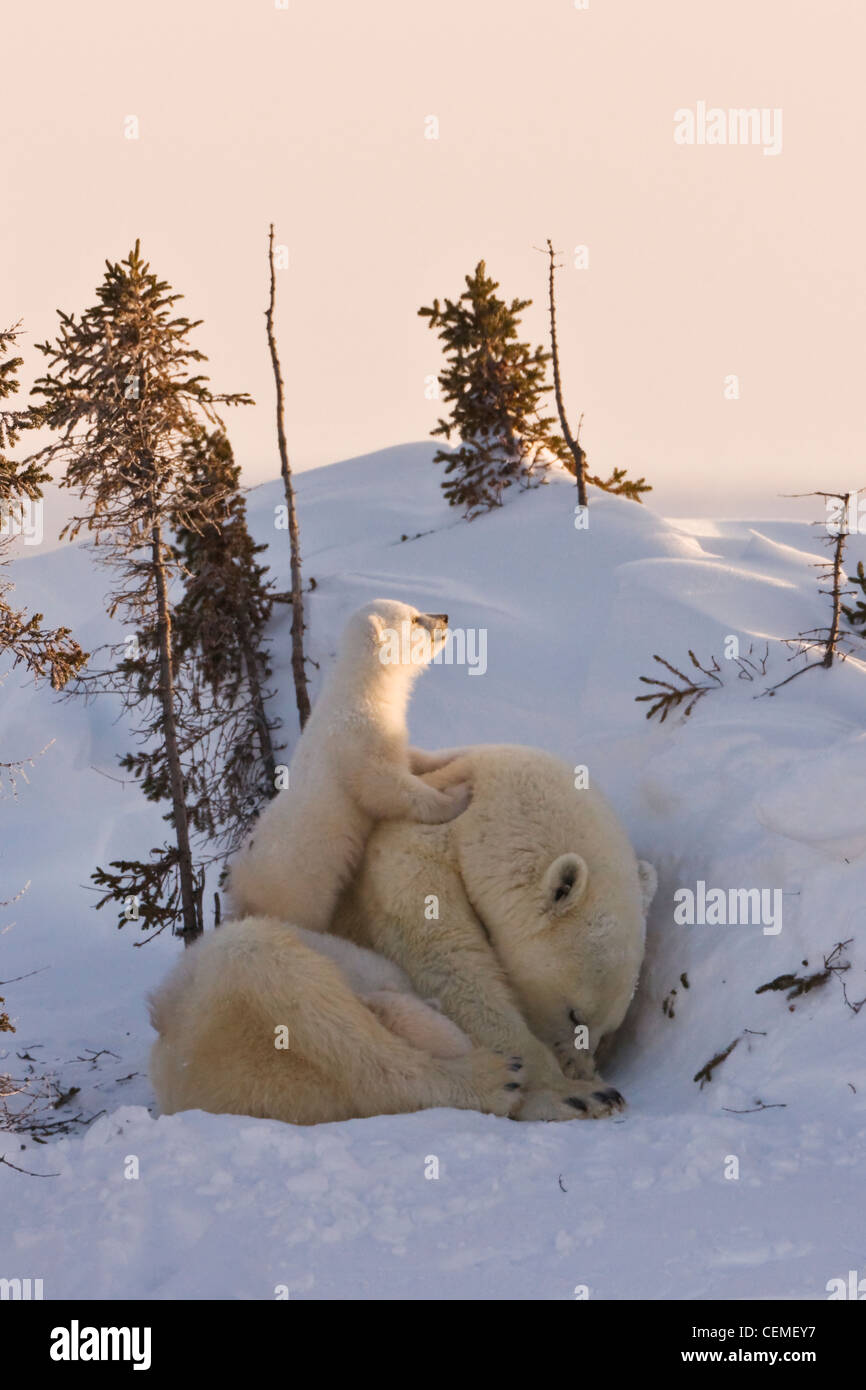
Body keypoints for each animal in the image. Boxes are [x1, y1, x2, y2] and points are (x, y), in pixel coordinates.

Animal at [227, 598, 471, 933]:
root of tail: (240, 892)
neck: (359, 694)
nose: (445, 617)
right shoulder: (356, 742)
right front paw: (459, 795)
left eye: (416, 609)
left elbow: (411, 758)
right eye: (414, 619)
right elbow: (385, 788)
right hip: (296, 893)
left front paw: (455, 754)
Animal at [329, 744, 657, 1121]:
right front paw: (579, 1095)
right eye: (575, 1015)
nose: (579, 1068)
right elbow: (452, 969)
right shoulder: (407, 871)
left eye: (608, 1031)